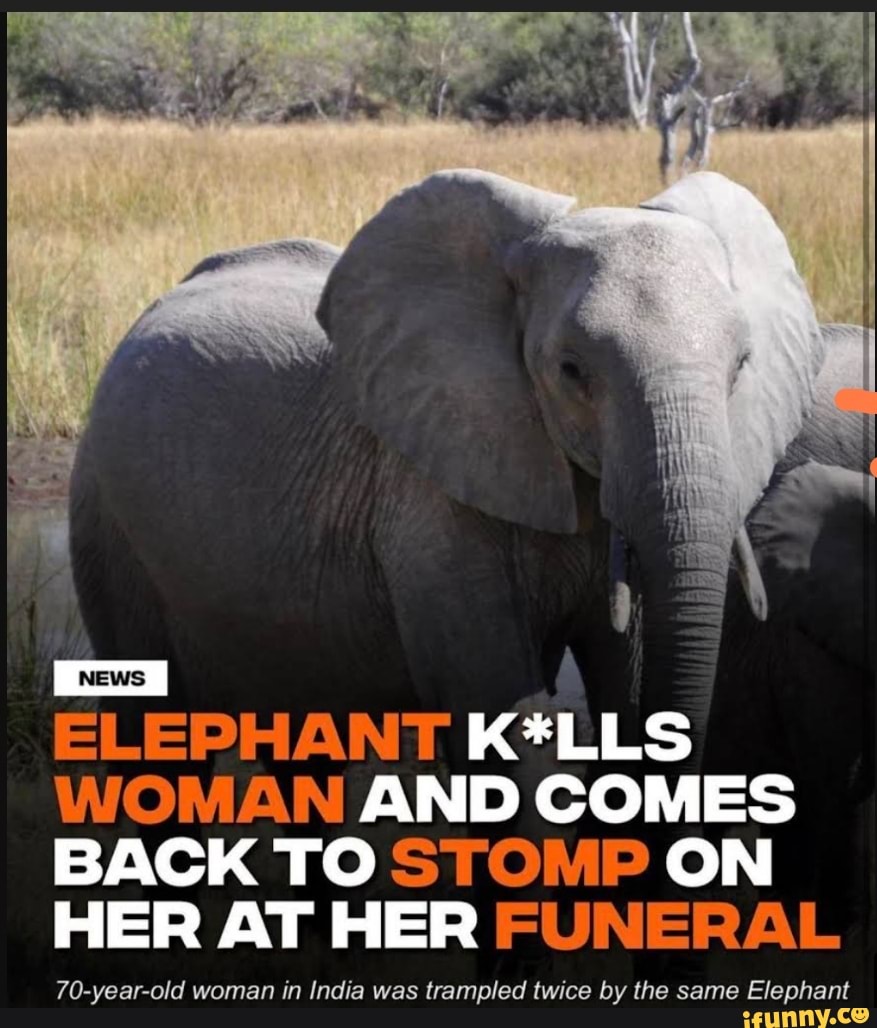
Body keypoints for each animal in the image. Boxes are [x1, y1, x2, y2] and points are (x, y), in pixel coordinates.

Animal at [70, 170, 823, 948]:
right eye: (571, 371)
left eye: (741, 367)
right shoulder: (428, 495)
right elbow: (495, 725)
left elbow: (629, 697)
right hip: (108, 520)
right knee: (162, 751)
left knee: (303, 749)